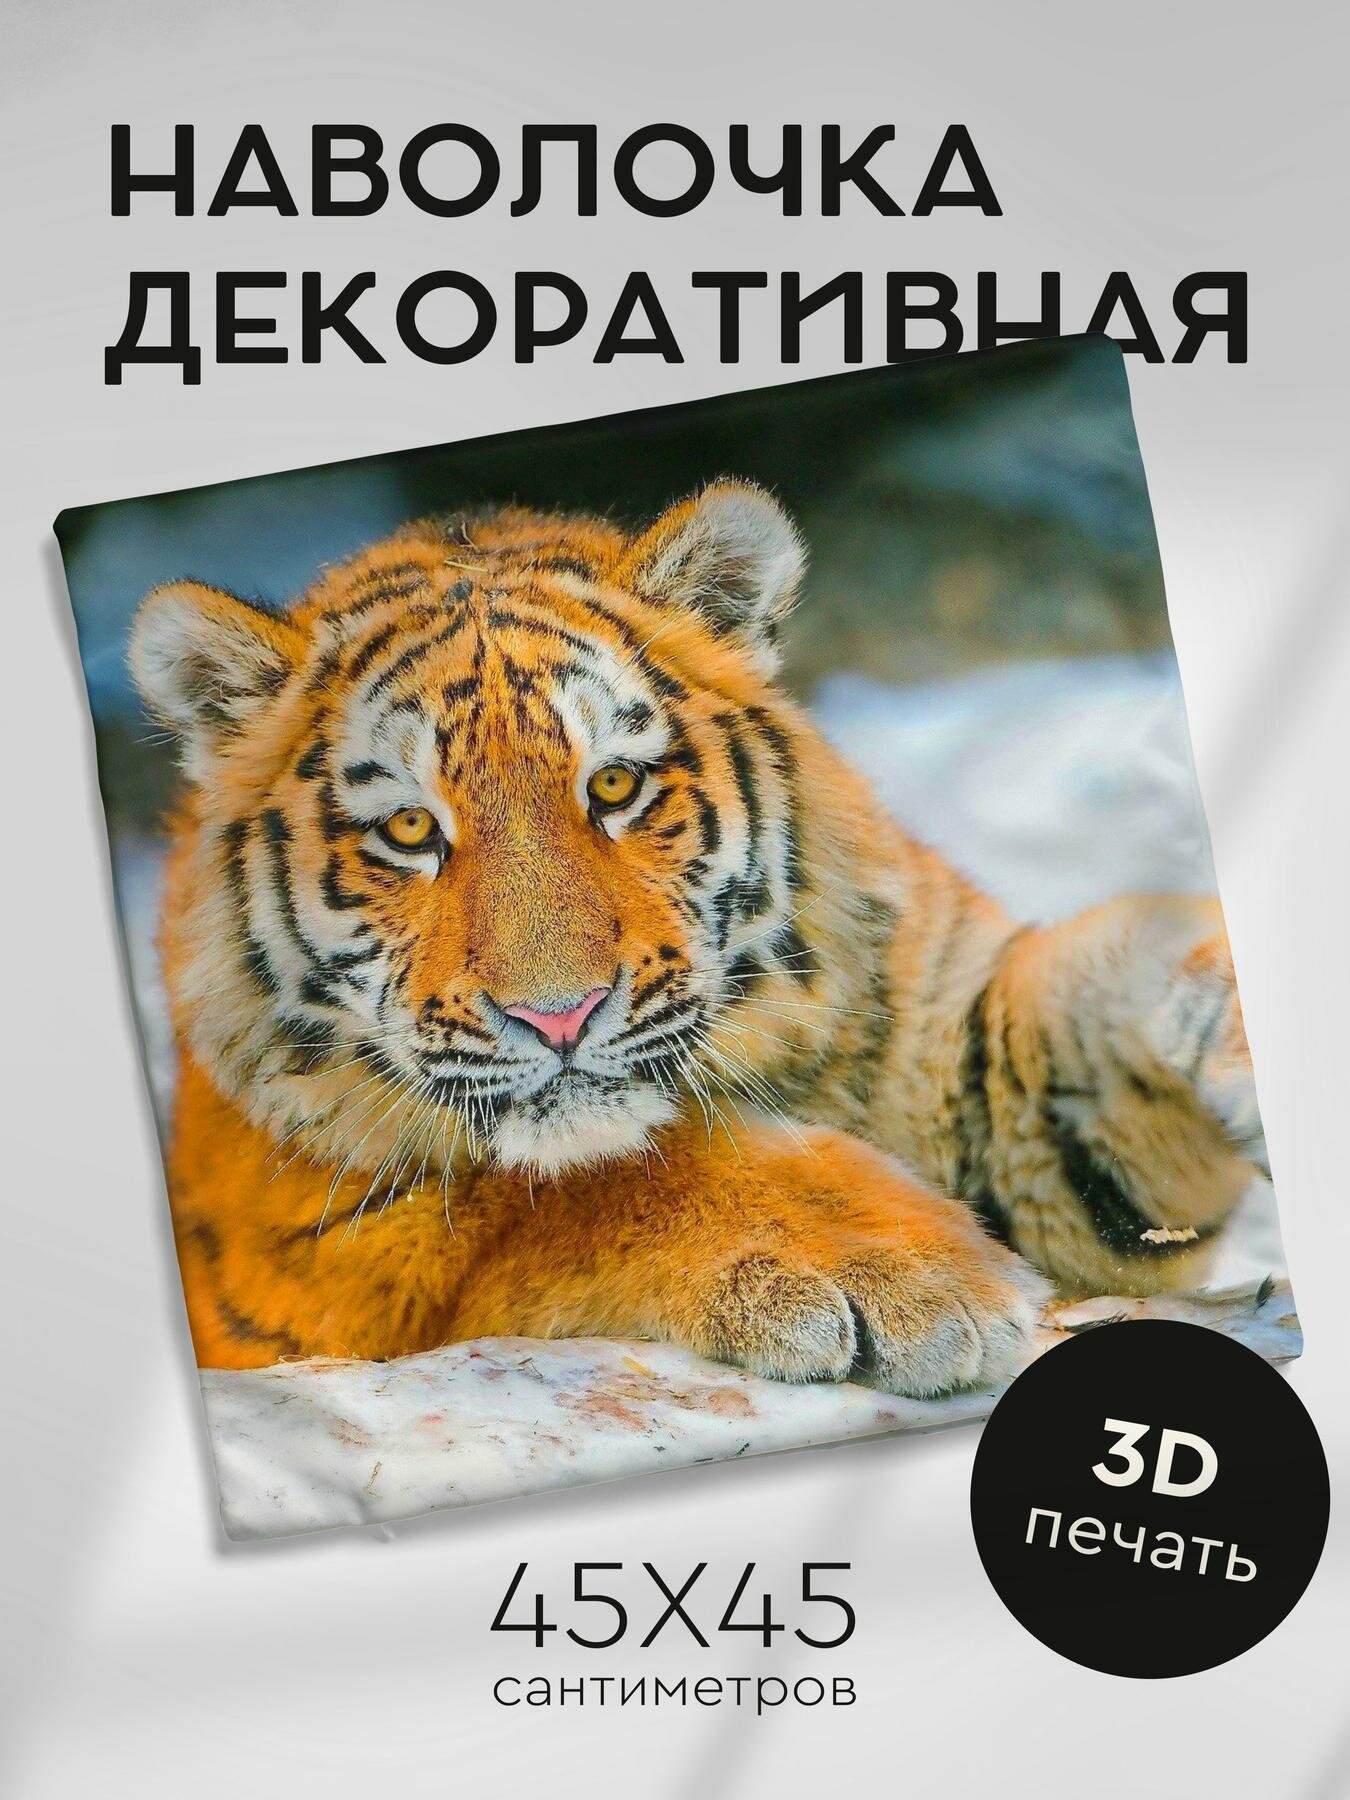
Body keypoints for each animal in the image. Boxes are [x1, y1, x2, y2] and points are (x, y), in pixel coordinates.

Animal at [128, 479, 1266, 1396]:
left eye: (615, 787)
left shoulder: (984, 1071)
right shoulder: (336, 1241)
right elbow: (586, 1183)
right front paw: (902, 1273)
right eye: (409, 830)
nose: (560, 1016)